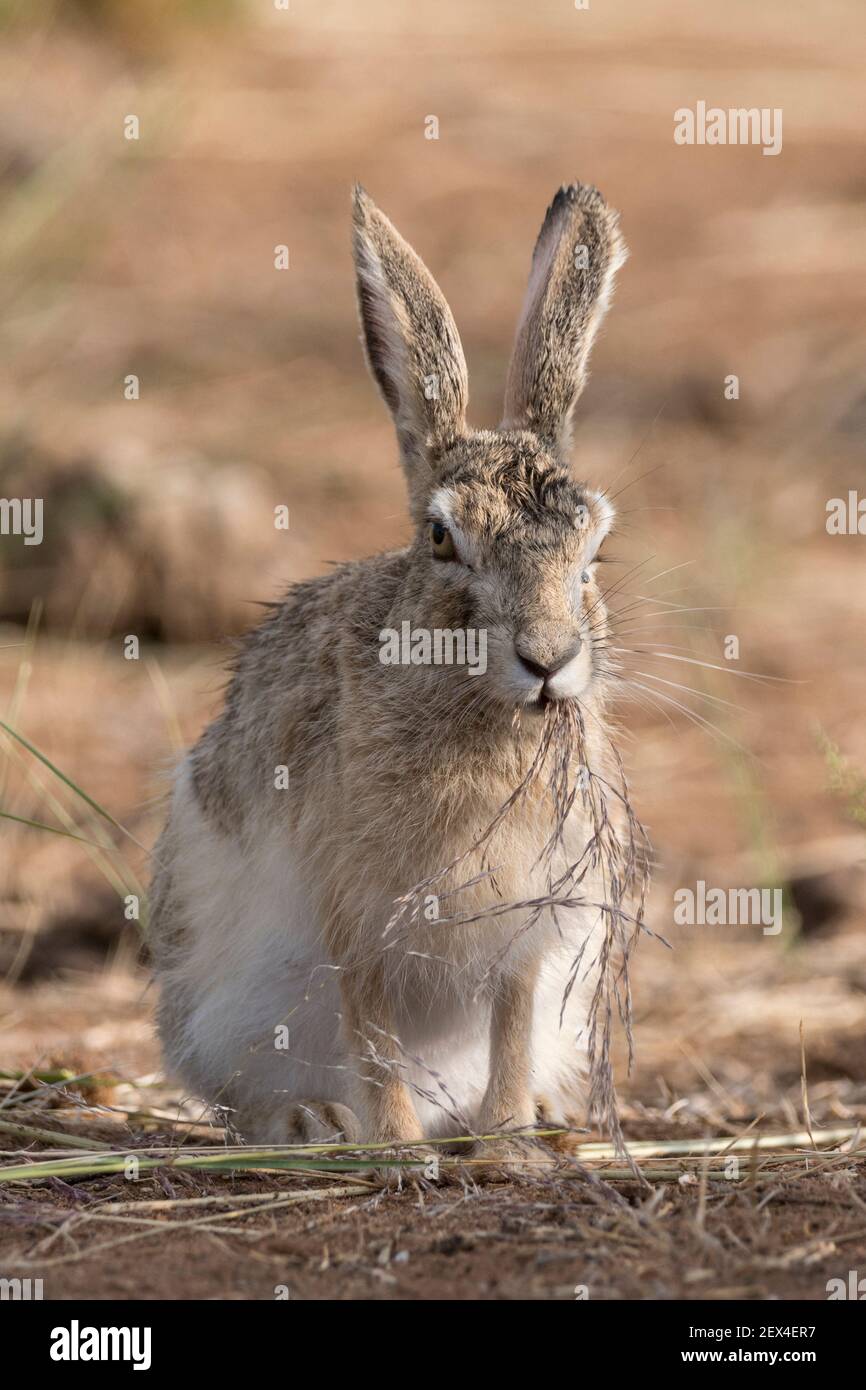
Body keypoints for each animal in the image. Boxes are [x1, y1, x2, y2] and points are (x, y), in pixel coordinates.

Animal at [149, 182, 629, 1169]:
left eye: (595, 551)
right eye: (442, 539)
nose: (549, 658)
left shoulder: (532, 932)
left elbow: (513, 1022)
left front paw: (509, 1142)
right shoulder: (357, 918)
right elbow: (372, 1027)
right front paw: (401, 1153)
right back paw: (315, 1125)